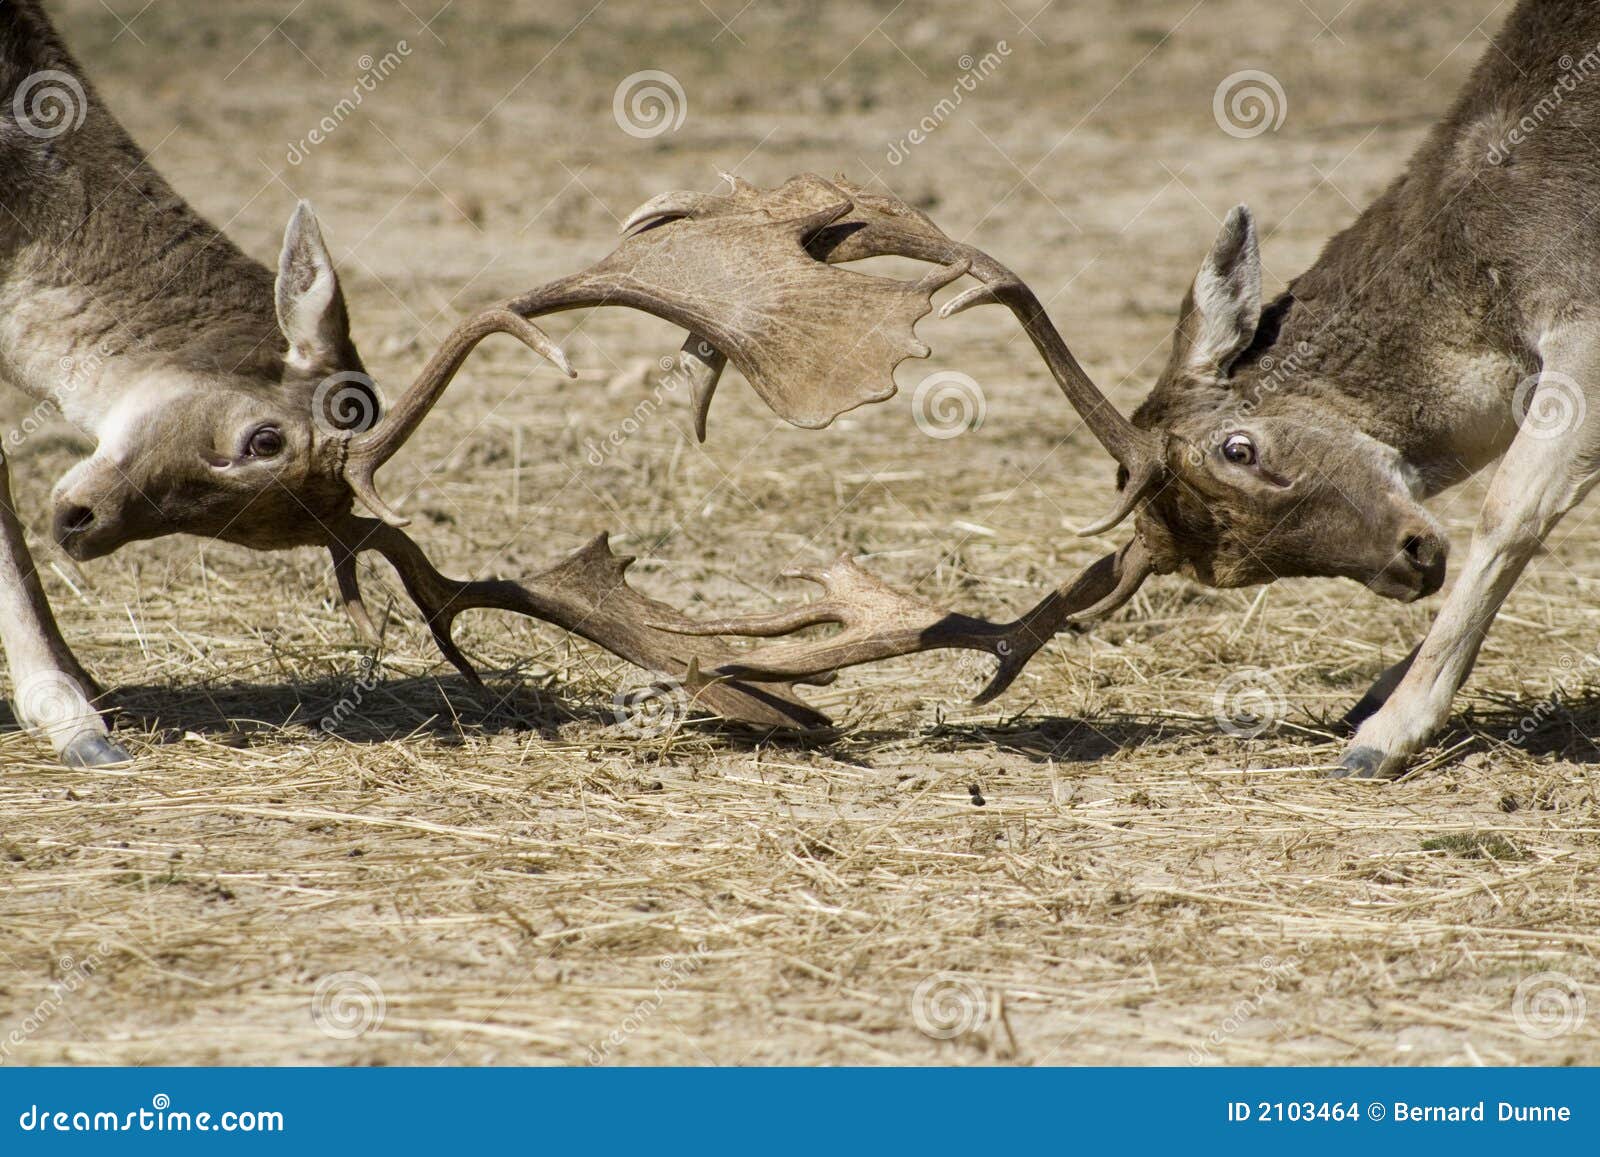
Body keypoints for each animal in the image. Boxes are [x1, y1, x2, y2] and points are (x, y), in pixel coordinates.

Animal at [656, 0, 1600, 780]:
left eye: (1240, 446)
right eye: (1230, 570)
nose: (1414, 557)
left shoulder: (1584, 317)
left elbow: (1510, 507)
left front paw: (1383, 734)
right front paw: (1371, 700)